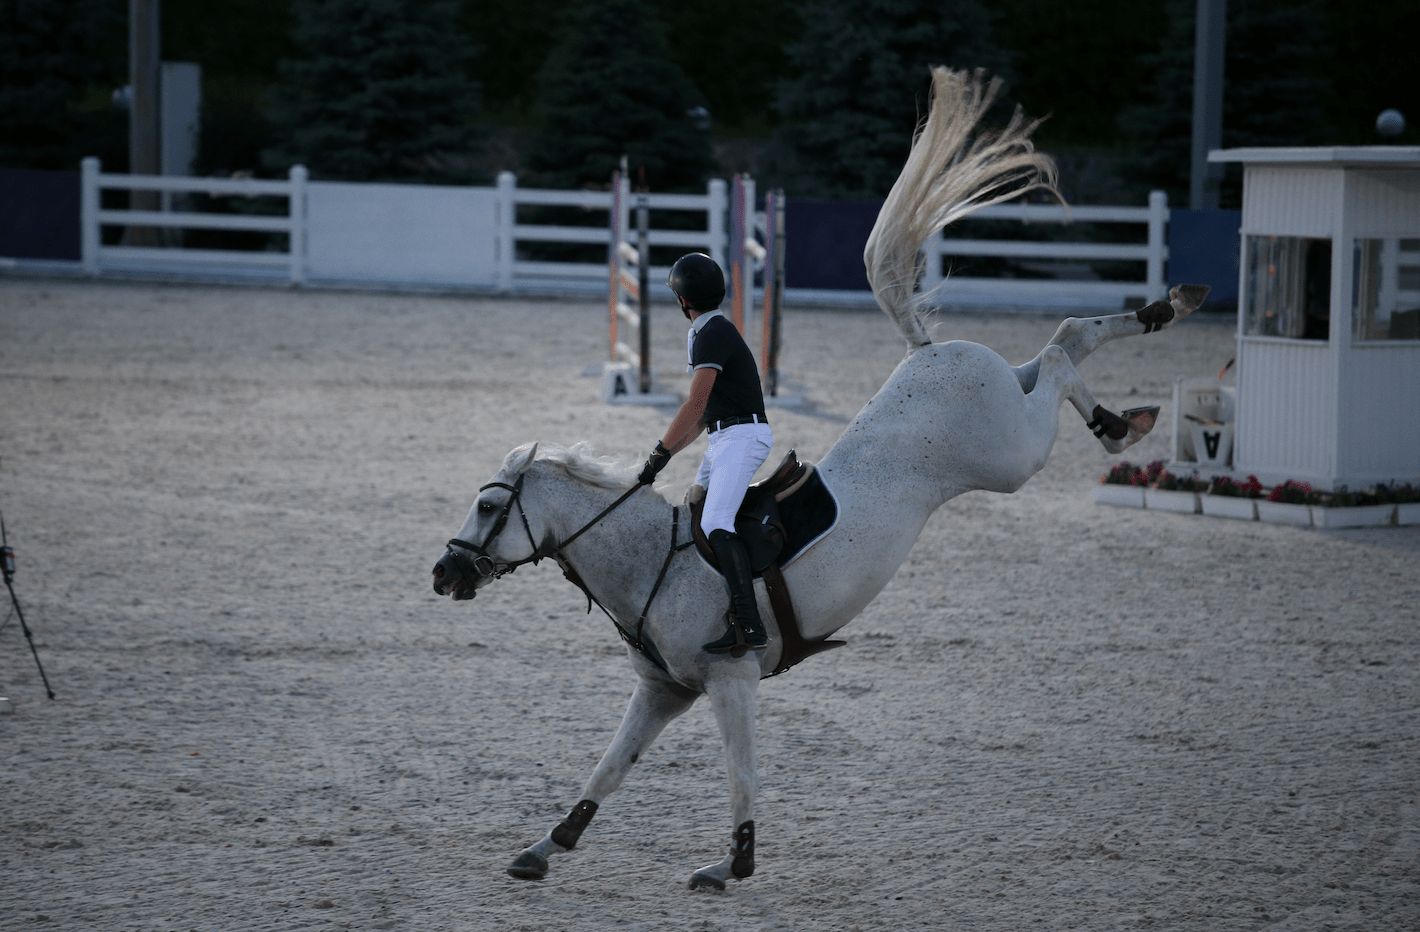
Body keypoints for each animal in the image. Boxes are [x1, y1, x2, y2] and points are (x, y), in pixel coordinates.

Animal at [430, 67, 1208, 890]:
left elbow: (741, 773)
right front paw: (546, 847)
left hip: (1009, 455)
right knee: (1057, 346)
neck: (647, 566)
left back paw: (1134, 394)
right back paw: (1146, 354)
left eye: (489, 505)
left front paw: (733, 862)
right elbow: (606, 771)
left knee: (1061, 353)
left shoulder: (731, 682)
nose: (442, 574)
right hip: (1006, 410)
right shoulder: (663, 691)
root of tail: (926, 351)